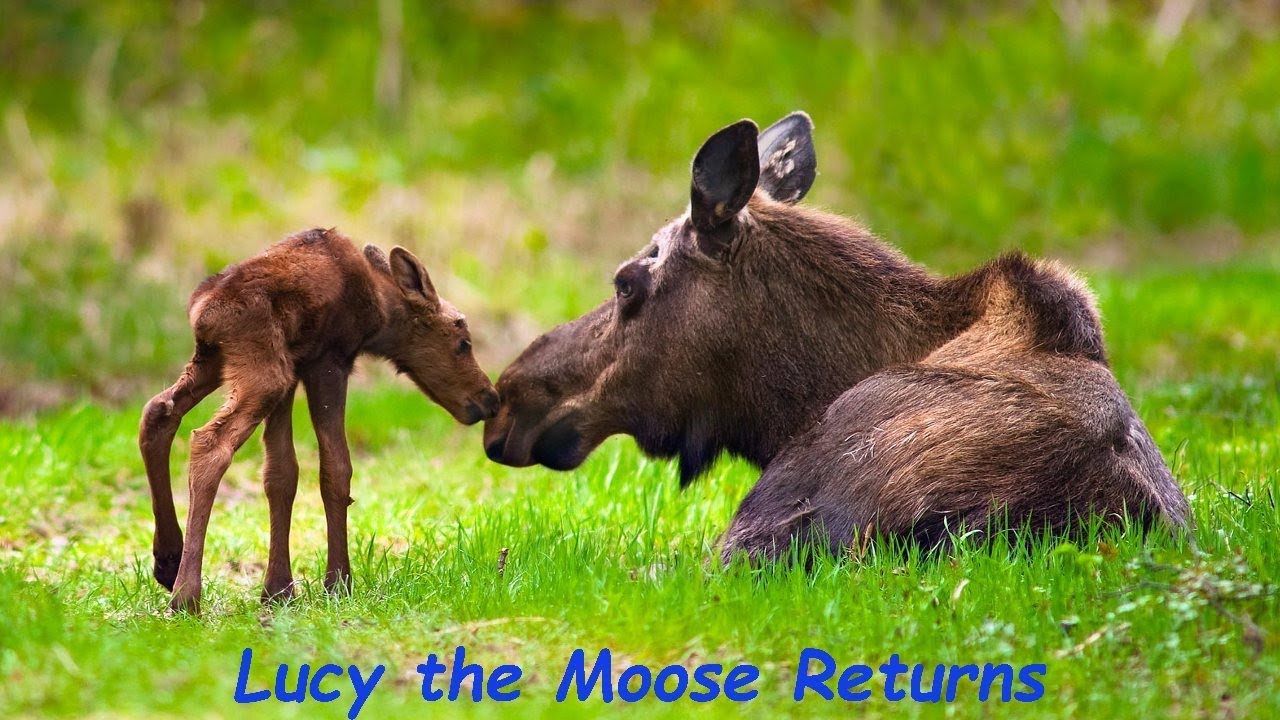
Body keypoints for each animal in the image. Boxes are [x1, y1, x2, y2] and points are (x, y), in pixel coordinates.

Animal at [140, 227, 499, 612]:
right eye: (463, 343)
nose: (489, 399)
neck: (380, 311)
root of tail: (203, 313)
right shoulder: (328, 360)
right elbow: (336, 469)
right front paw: (338, 582)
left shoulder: (295, 367)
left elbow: (281, 474)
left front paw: (278, 590)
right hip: (264, 373)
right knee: (210, 442)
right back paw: (186, 596)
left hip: (220, 362)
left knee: (157, 411)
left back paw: (168, 561)